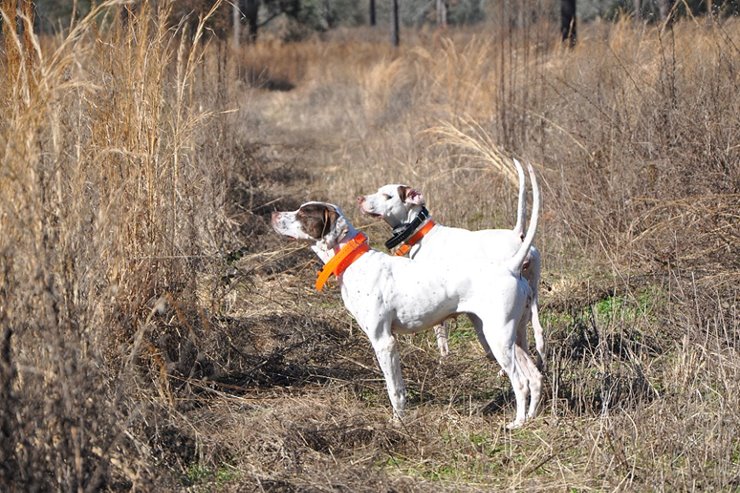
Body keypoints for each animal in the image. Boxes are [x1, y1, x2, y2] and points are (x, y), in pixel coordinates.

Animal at [356, 158, 548, 366]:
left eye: (387, 196)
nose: (361, 199)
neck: (423, 234)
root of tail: (517, 235)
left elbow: (439, 329)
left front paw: (443, 355)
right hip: (532, 293)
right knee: (537, 332)